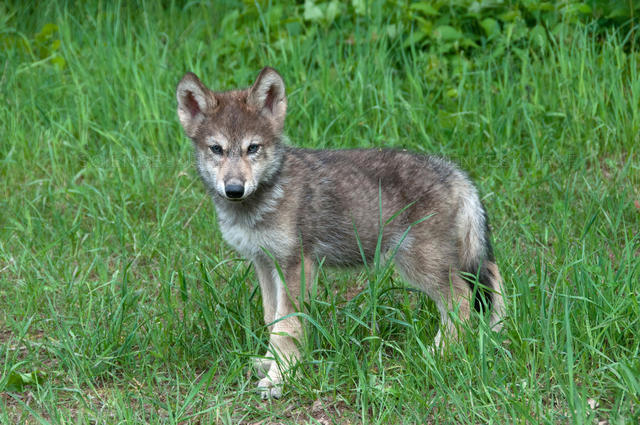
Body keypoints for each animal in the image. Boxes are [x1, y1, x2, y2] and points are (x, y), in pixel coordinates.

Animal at [176, 67, 505, 399]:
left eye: (252, 148)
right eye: (216, 149)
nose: (233, 189)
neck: (260, 204)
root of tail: (454, 172)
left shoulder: (296, 264)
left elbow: (288, 327)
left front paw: (279, 379)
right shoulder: (265, 263)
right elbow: (273, 319)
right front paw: (268, 363)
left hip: (418, 265)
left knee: (461, 299)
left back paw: (437, 354)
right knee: (492, 276)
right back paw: (495, 332)